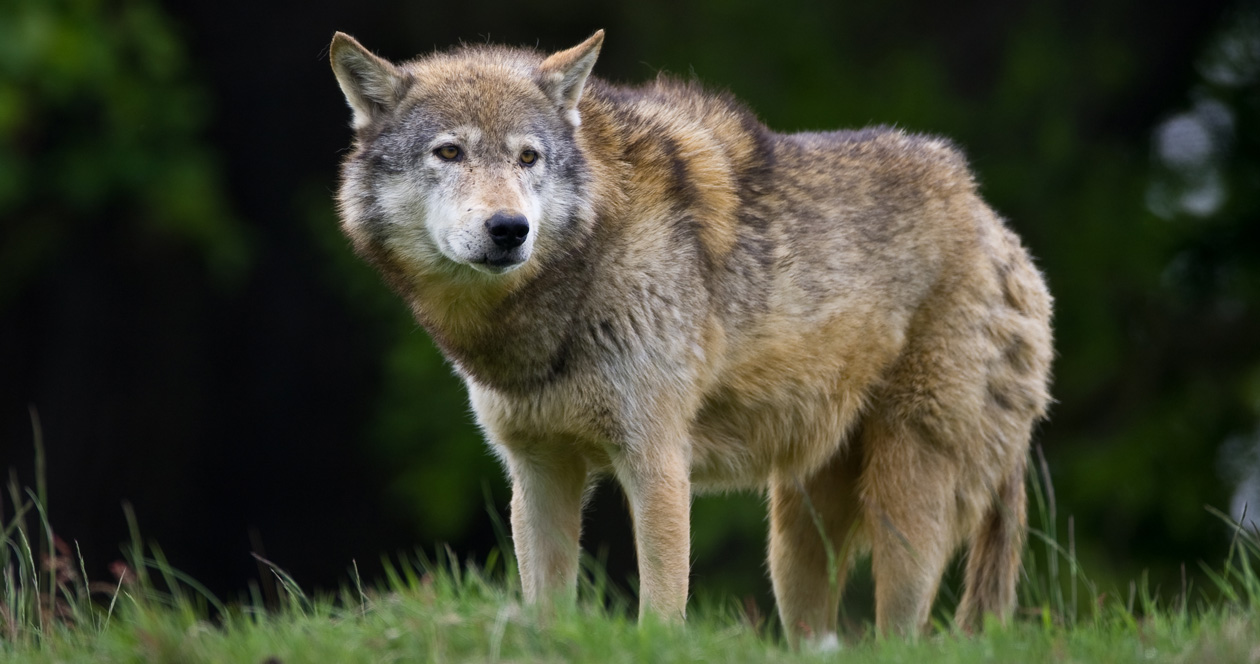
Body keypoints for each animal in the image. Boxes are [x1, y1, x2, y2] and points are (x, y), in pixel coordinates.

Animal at [329, 29, 1053, 643]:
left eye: (528, 158)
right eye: (448, 152)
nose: (510, 229)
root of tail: (996, 224)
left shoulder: (656, 462)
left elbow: (660, 614)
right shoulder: (538, 470)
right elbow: (545, 610)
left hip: (903, 508)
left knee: (902, 632)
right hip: (794, 540)